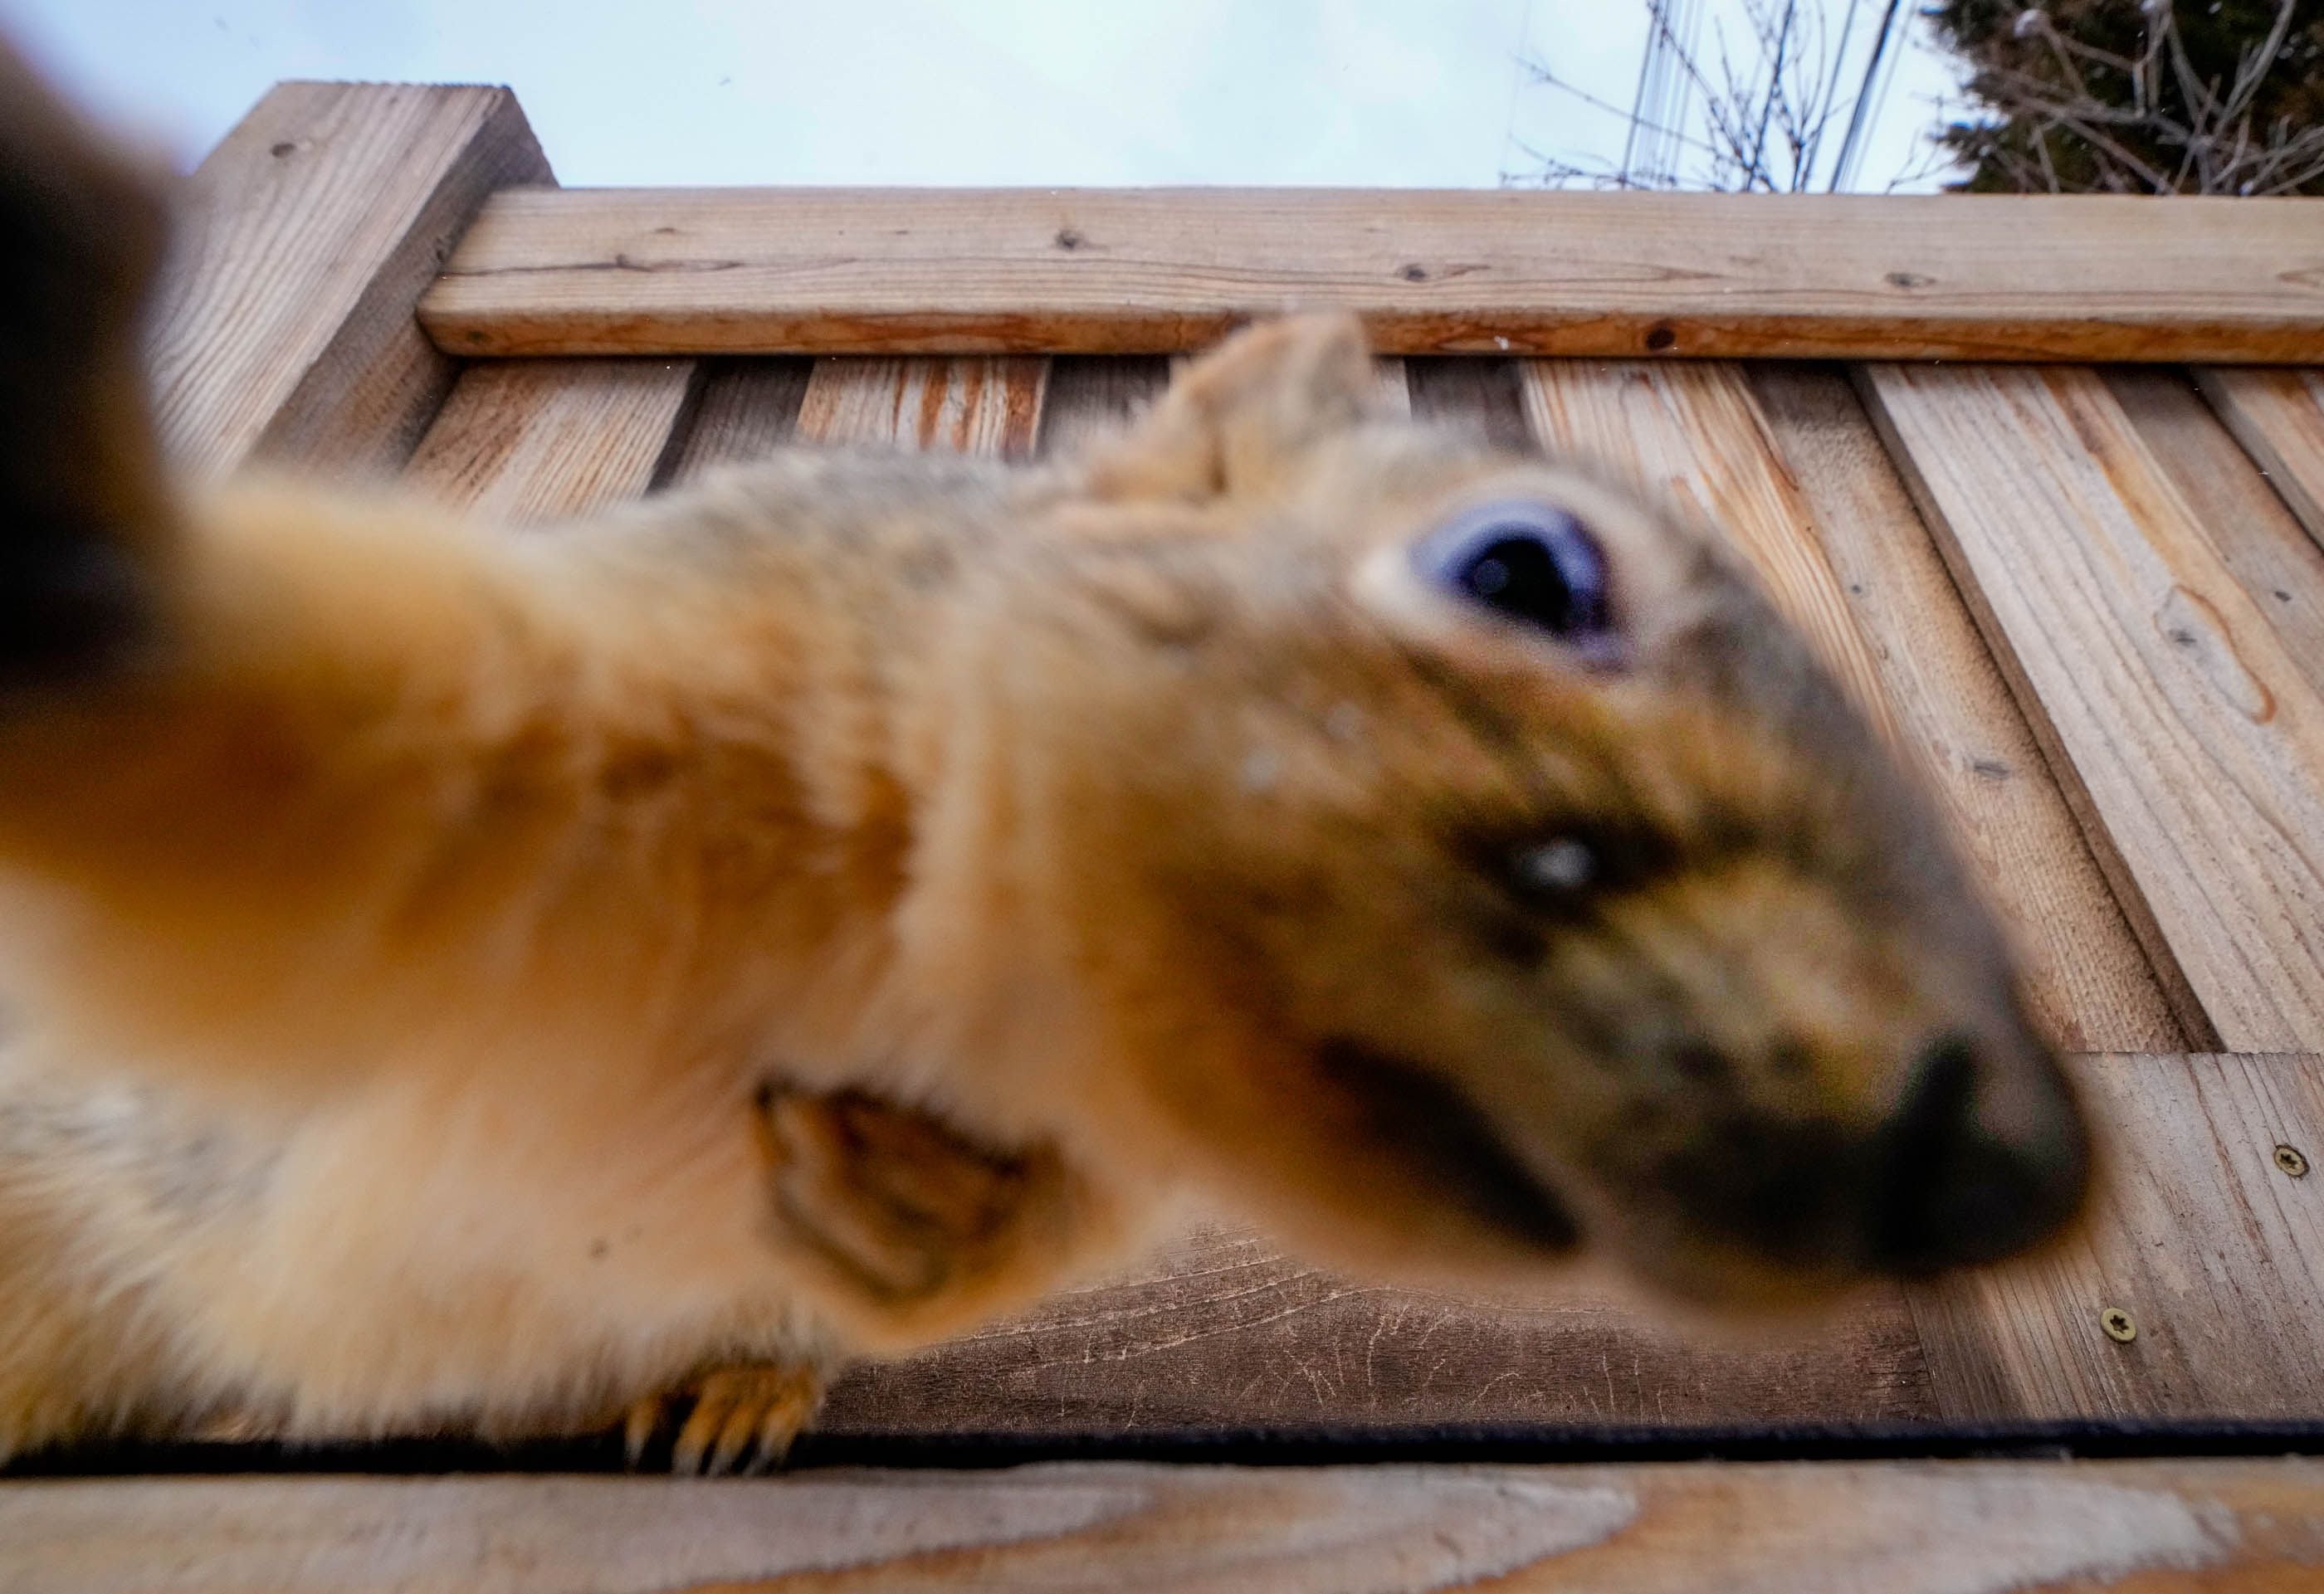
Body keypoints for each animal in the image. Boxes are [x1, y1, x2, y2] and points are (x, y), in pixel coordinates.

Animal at [0, 43, 2088, 1474]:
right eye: (1517, 569)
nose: (2005, 1173)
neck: (989, 988)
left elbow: (1042, 1230)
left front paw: (940, 1222)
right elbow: (266, 790)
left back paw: (732, 1380)